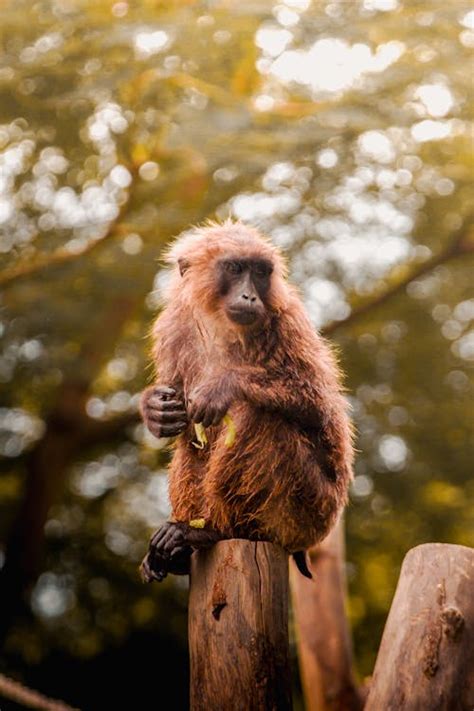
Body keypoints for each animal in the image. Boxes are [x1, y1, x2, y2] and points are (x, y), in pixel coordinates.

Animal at [139, 220, 354, 582]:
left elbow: (320, 408)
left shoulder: (287, 320)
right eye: (236, 268)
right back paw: (183, 545)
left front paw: (223, 386)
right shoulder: (173, 326)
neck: (219, 326)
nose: (250, 295)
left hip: (310, 512)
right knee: (192, 438)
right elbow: (180, 416)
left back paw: (212, 531)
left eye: (260, 272)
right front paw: (154, 409)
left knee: (260, 417)